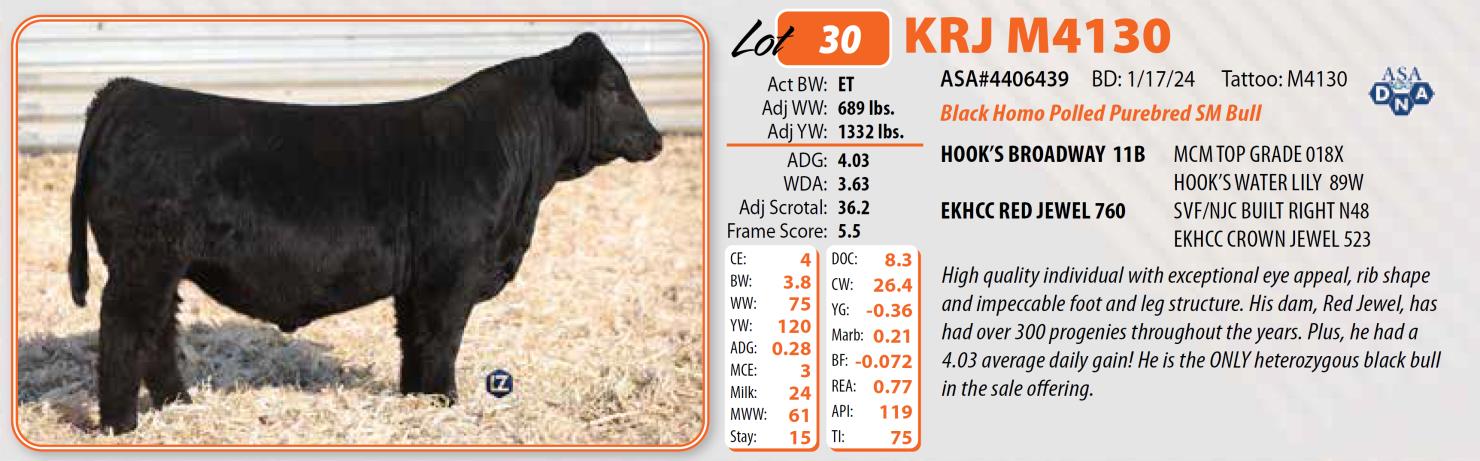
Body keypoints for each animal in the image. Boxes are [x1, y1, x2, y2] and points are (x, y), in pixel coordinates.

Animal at [66, 32, 663, 434]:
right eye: (614, 87)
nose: (655, 139)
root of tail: (127, 92)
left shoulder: (418, 282)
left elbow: (415, 342)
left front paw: (417, 402)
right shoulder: (451, 275)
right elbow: (442, 340)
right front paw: (445, 403)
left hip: (162, 264)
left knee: (158, 332)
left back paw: (178, 406)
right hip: (144, 260)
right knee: (124, 331)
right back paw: (121, 425)